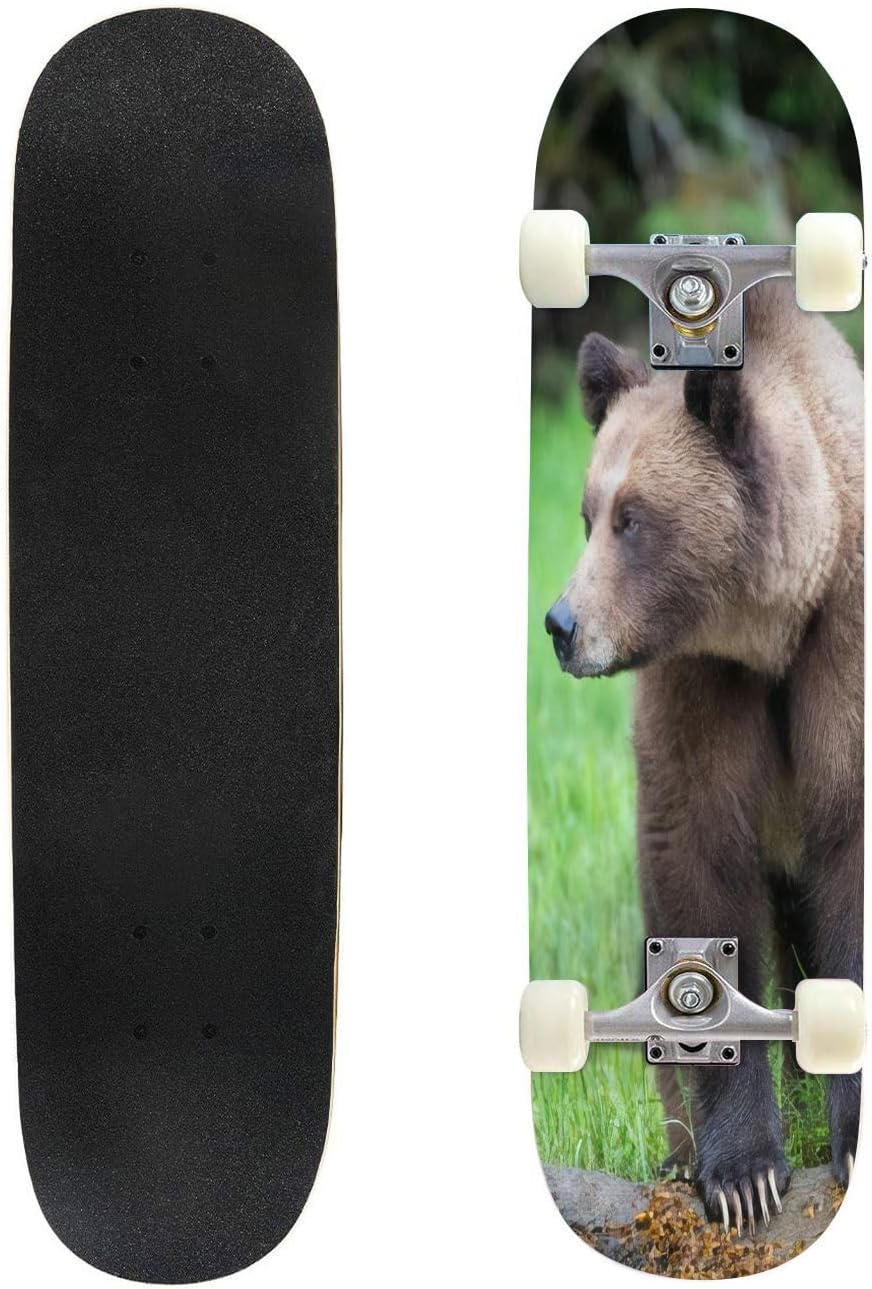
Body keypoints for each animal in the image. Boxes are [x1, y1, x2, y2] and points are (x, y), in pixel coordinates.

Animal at [544, 280, 863, 1234]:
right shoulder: (700, 685)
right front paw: (743, 1173)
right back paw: (677, 1153)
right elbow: (695, 856)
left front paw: (846, 1143)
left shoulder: (842, 646)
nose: (563, 624)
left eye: (632, 518)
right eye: (587, 513)